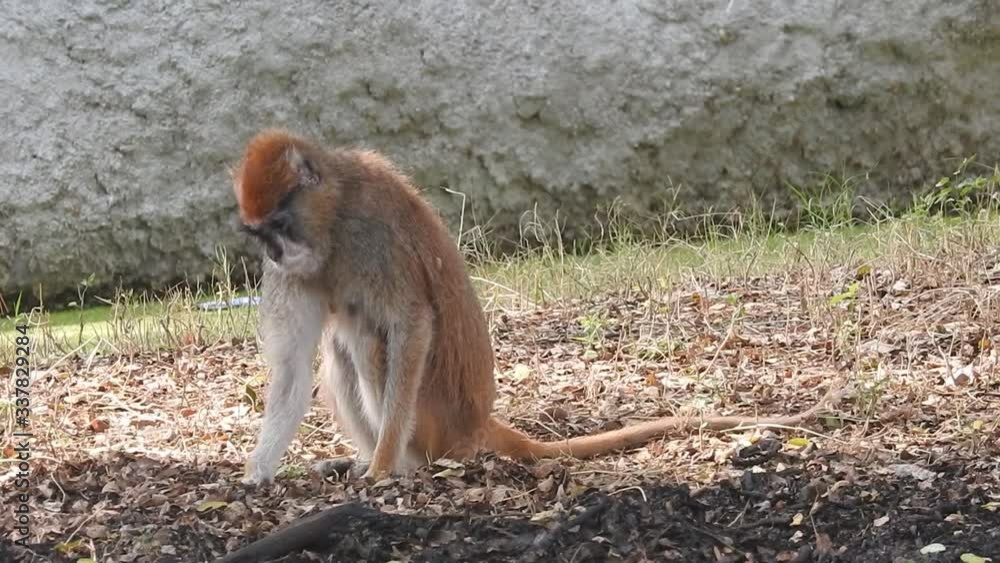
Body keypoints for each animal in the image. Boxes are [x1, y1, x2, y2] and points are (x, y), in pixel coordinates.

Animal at [231, 129, 843, 485]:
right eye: (260, 236)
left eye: (281, 224)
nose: (277, 252)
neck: (332, 215)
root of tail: (477, 420)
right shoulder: (294, 276)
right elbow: (290, 368)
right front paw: (258, 474)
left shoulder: (370, 237)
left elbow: (412, 322)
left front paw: (381, 471)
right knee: (341, 345)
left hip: (436, 416)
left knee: (365, 342)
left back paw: (403, 463)